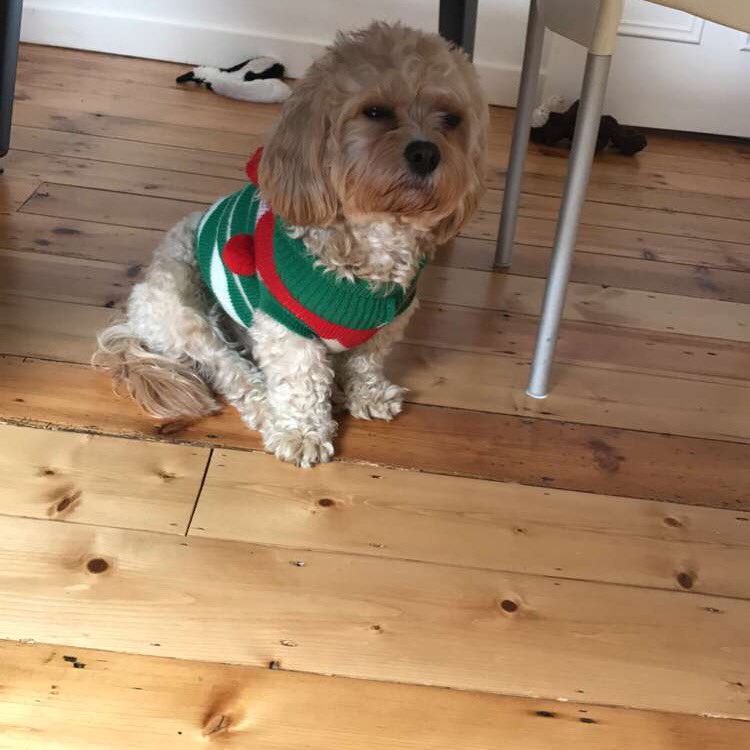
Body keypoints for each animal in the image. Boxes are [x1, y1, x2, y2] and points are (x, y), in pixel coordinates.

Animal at [93, 22, 488, 467]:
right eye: (375, 112)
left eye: (451, 119)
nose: (426, 153)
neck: (374, 238)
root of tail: (133, 322)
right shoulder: (286, 328)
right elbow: (301, 382)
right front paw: (302, 432)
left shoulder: (390, 322)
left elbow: (366, 361)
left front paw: (367, 393)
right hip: (181, 309)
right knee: (230, 368)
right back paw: (267, 406)